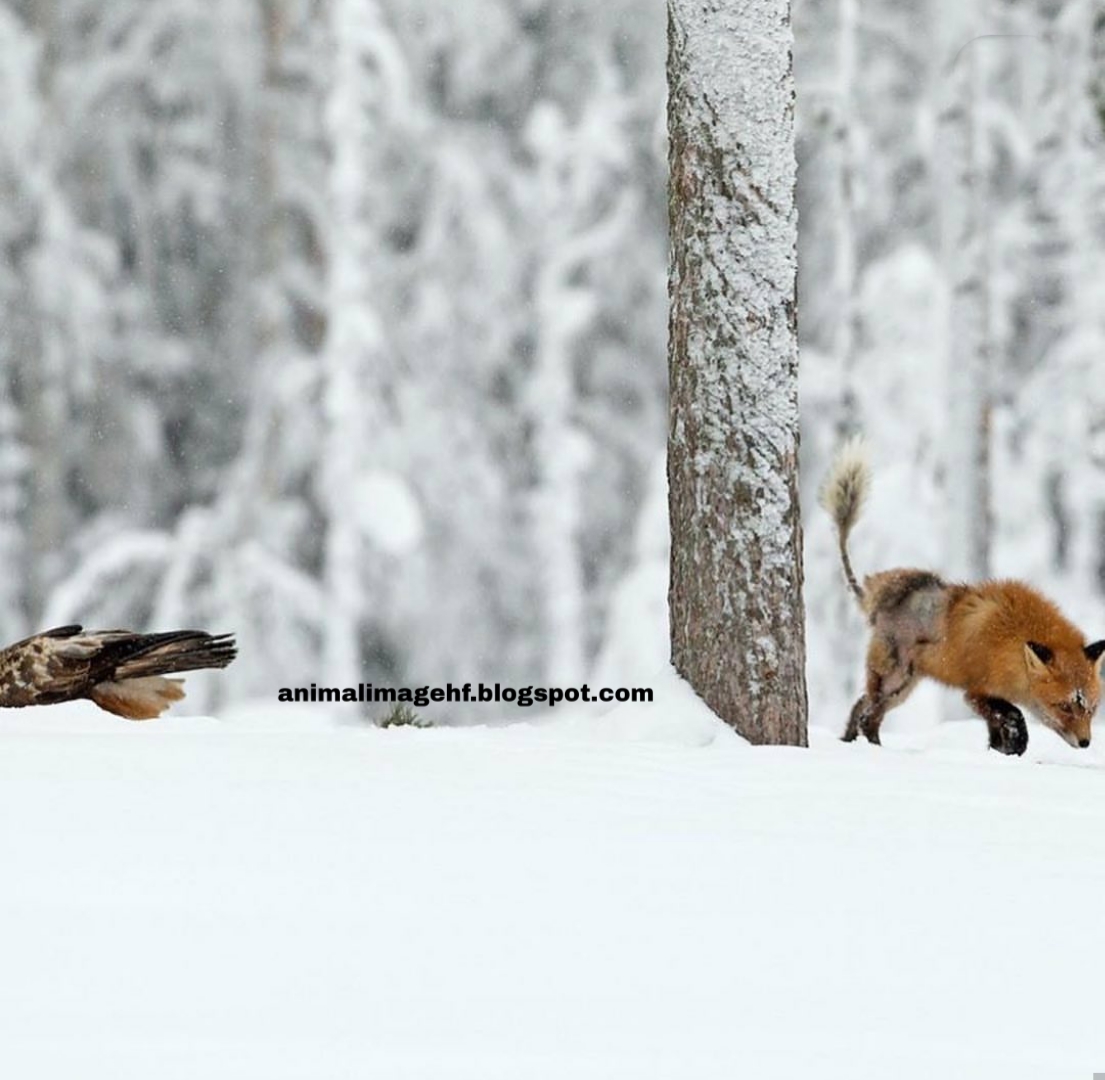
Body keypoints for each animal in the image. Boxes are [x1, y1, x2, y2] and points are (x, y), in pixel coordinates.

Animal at [820, 438, 1105, 755]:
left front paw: (1002, 753)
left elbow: (998, 731)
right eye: (1065, 707)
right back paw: (873, 749)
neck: (1010, 640)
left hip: (902, 687)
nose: (1085, 742)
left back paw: (851, 742)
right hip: (894, 681)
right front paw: (1016, 744)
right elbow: (1013, 715)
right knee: (868, 714)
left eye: (1090, 708)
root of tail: (878, 596)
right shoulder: (976, 692)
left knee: (861, 707)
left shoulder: (987, 695)